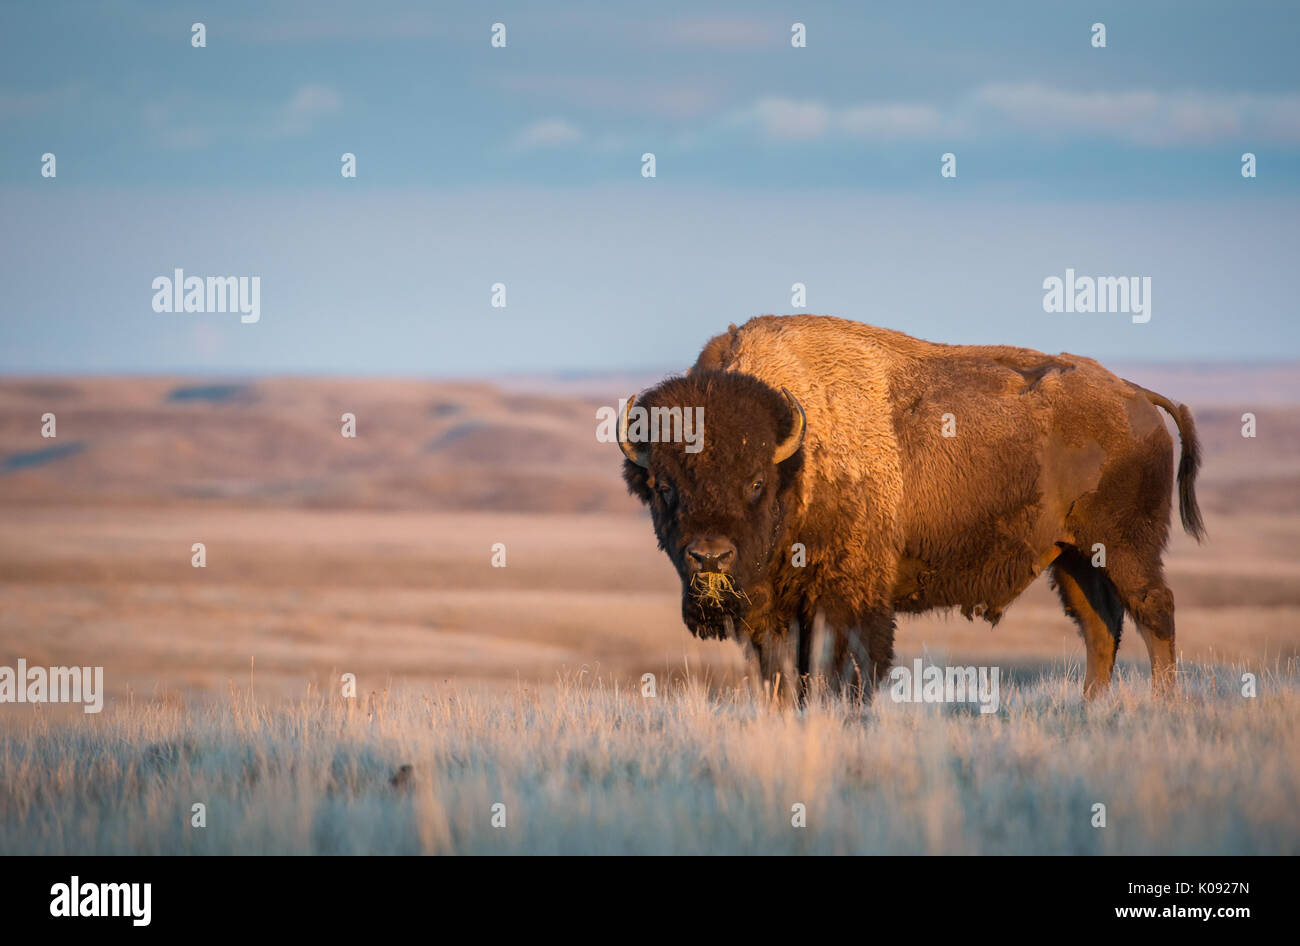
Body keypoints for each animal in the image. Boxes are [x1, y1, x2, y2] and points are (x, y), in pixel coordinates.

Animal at [618, 315, 1203, 702]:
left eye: (755, 482)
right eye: (664, 487)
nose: (709, 557)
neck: (798, 456)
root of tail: (1135, 395)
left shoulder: (848, 596)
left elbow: (847, 667)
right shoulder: (774, 609)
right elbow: (784, 675)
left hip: (1125, 546)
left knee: (1155, 610)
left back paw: (1162, 704)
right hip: (1072, 557)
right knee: (1100, 625)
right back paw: (1091, 706)